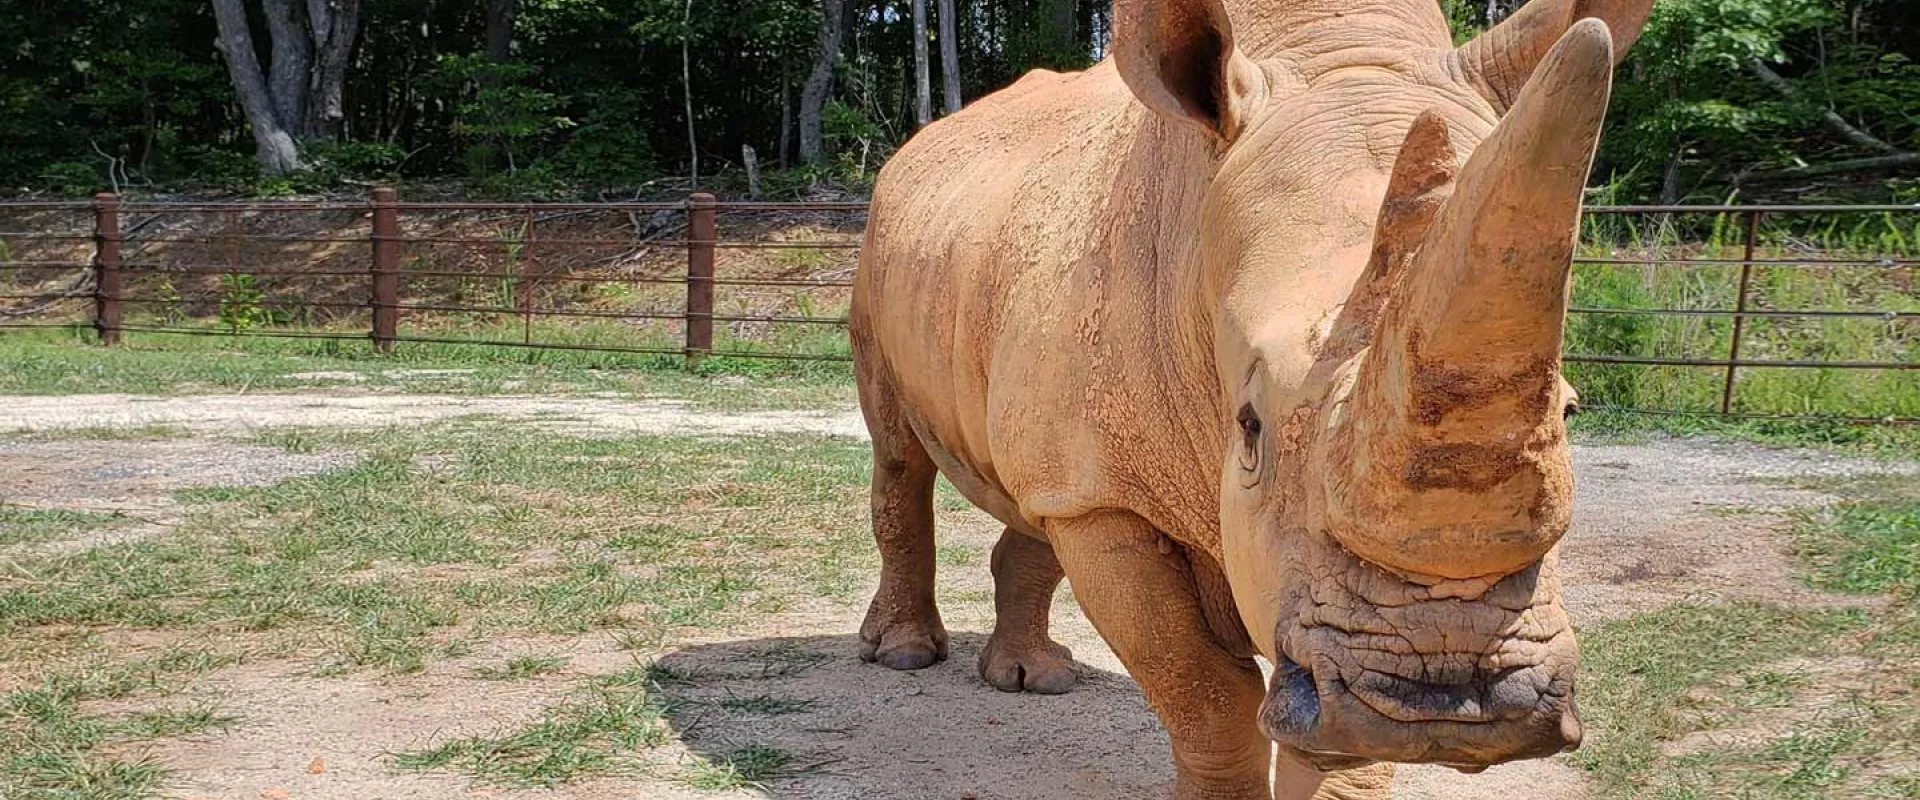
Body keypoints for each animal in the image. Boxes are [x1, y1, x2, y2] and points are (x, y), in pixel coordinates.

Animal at [847, 0, 1652, 796]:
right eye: (1250, 426)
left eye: (1568, 413)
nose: (1444, 697)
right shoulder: (1110, 508)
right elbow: (1206, 694)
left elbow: (1338, 753)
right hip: (877, 242)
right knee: (901, 455)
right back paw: (906, 655)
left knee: (1033, 488)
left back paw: (1035, 679)